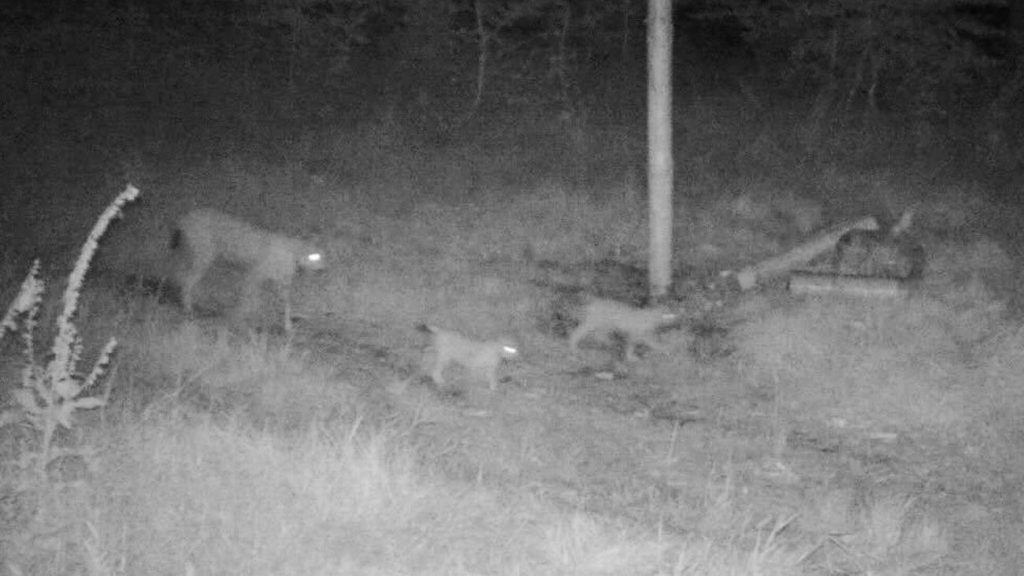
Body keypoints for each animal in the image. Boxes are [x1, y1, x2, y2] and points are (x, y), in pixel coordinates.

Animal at [172, 208, 323, 330]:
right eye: (314, 257)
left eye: (320, 256)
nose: (322, 270)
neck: (293, 254)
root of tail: (184, 218)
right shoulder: (254, 275)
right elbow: (248, 300)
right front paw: (240, 320)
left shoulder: (279, 283)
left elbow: (285, 304)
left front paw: (287, 326)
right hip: (202, 259)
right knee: (186, 282)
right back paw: (188, 310)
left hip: (193, 258)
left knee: (182, 277)